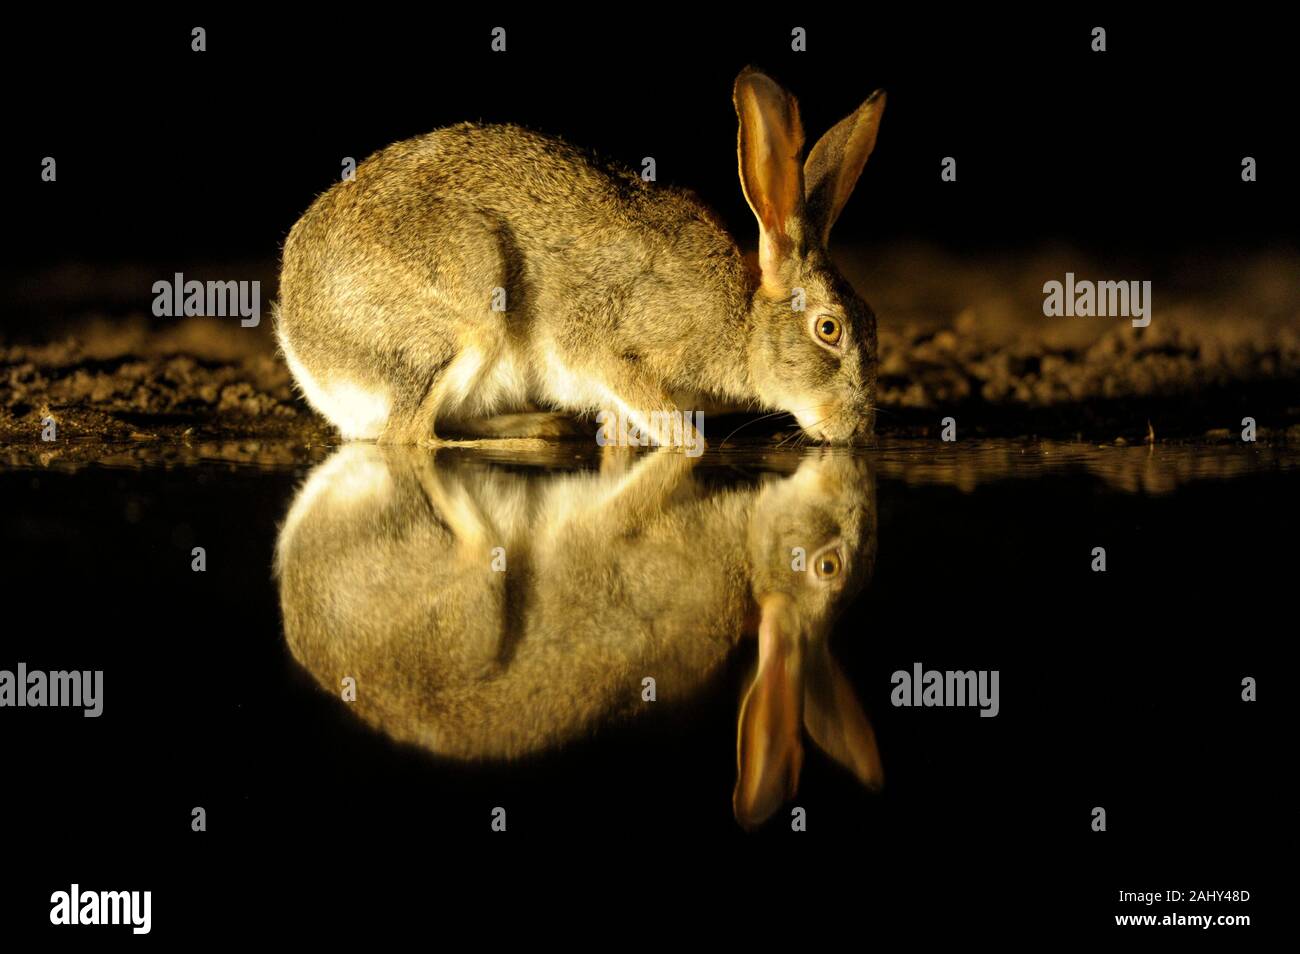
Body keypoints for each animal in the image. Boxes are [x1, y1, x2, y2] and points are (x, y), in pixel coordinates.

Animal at [275, 67, 886, 447]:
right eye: (828, 329)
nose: (857, 430)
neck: (744, 319)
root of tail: (303, 346)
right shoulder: (610, 347)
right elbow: (681, 438)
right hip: (468, 307)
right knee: (410, 436)